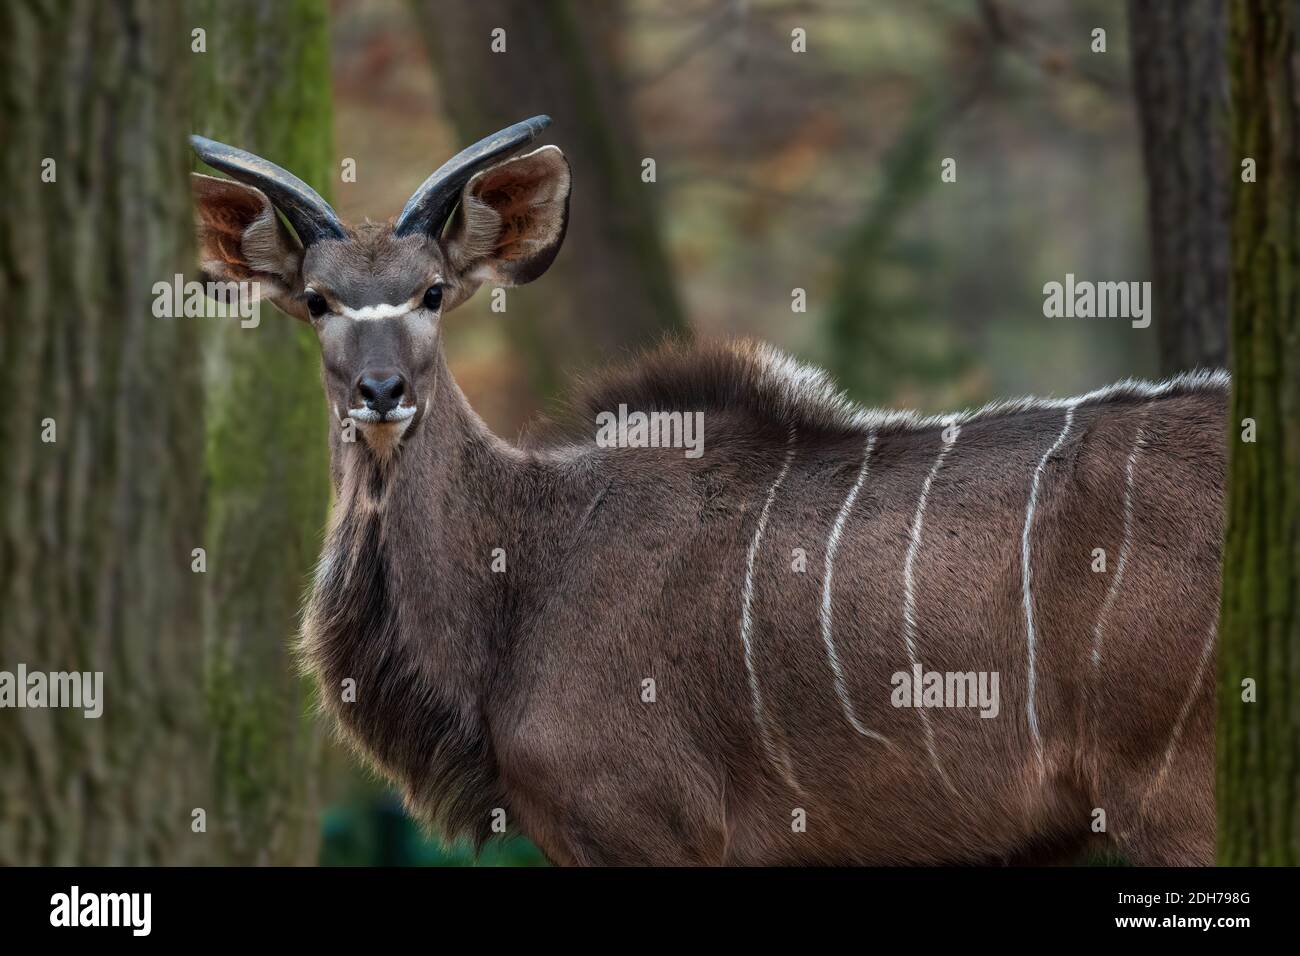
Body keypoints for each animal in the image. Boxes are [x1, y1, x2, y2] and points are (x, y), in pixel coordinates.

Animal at [190, 116, 1225, 866]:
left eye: (434, 291)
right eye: (318, 300)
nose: (382, 391)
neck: (527, 566)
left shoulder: (648, 827)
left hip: (1177, 803)